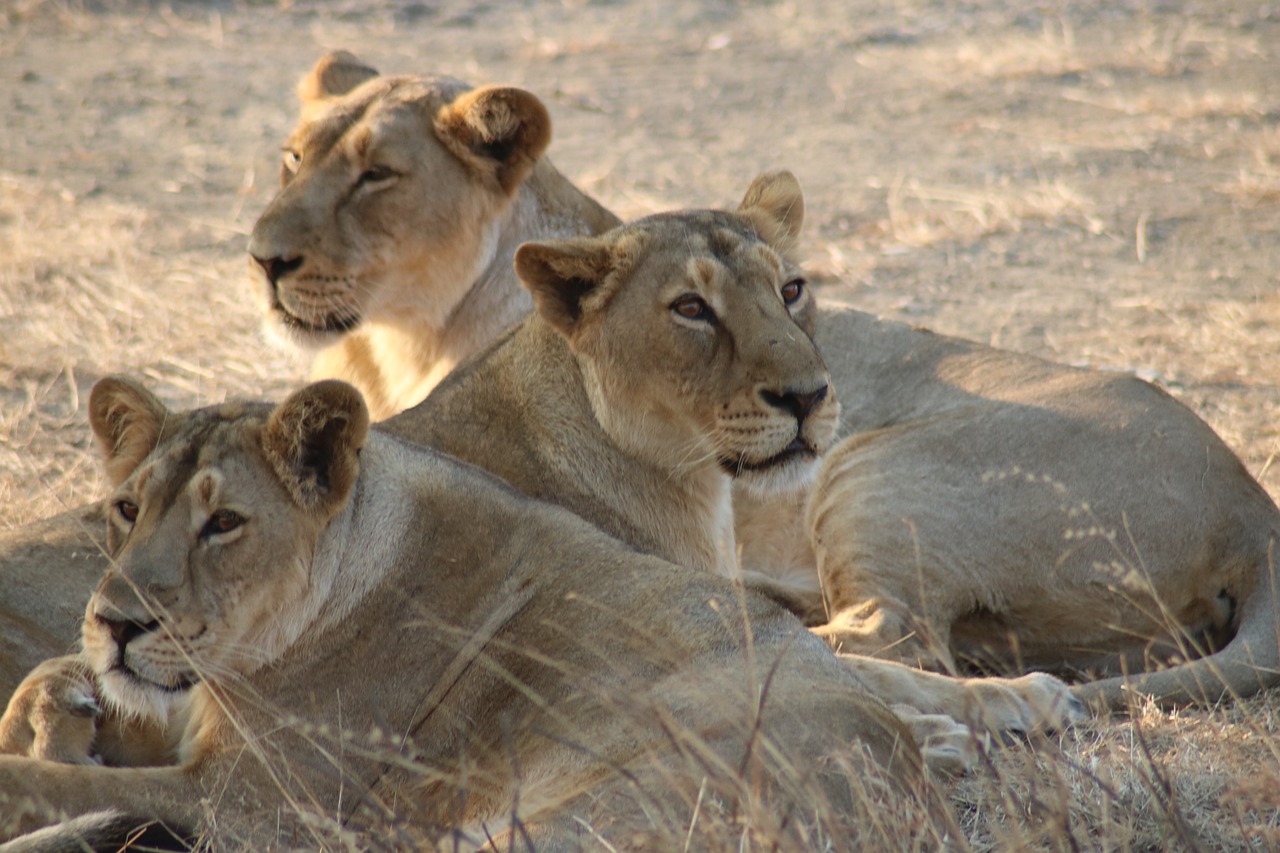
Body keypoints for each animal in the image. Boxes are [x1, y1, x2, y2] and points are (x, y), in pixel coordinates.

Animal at [0, 377, 938, 850]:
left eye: (223, 522)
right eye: (127, 508)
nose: (115, 622)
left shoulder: (253, 804)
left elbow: (42, 784)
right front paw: (60, 707)